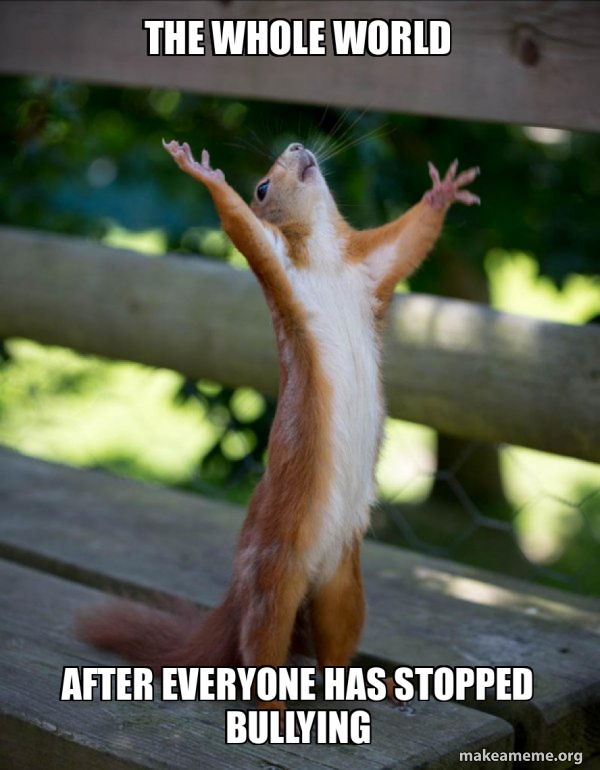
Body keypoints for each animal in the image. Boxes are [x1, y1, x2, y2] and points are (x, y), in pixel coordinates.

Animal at [78, 138, 479, 717]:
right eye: (262, 186)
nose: (296, 146)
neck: (327, 259)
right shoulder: (277, 265)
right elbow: (240, 226)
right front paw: (204, 173)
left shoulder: (371, 267)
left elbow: (410, 240)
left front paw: (443, 191)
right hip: (273, 579)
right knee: (260, 650)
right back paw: (276, 710)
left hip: (343, 586)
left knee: (335, 646)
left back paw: (357, 687)